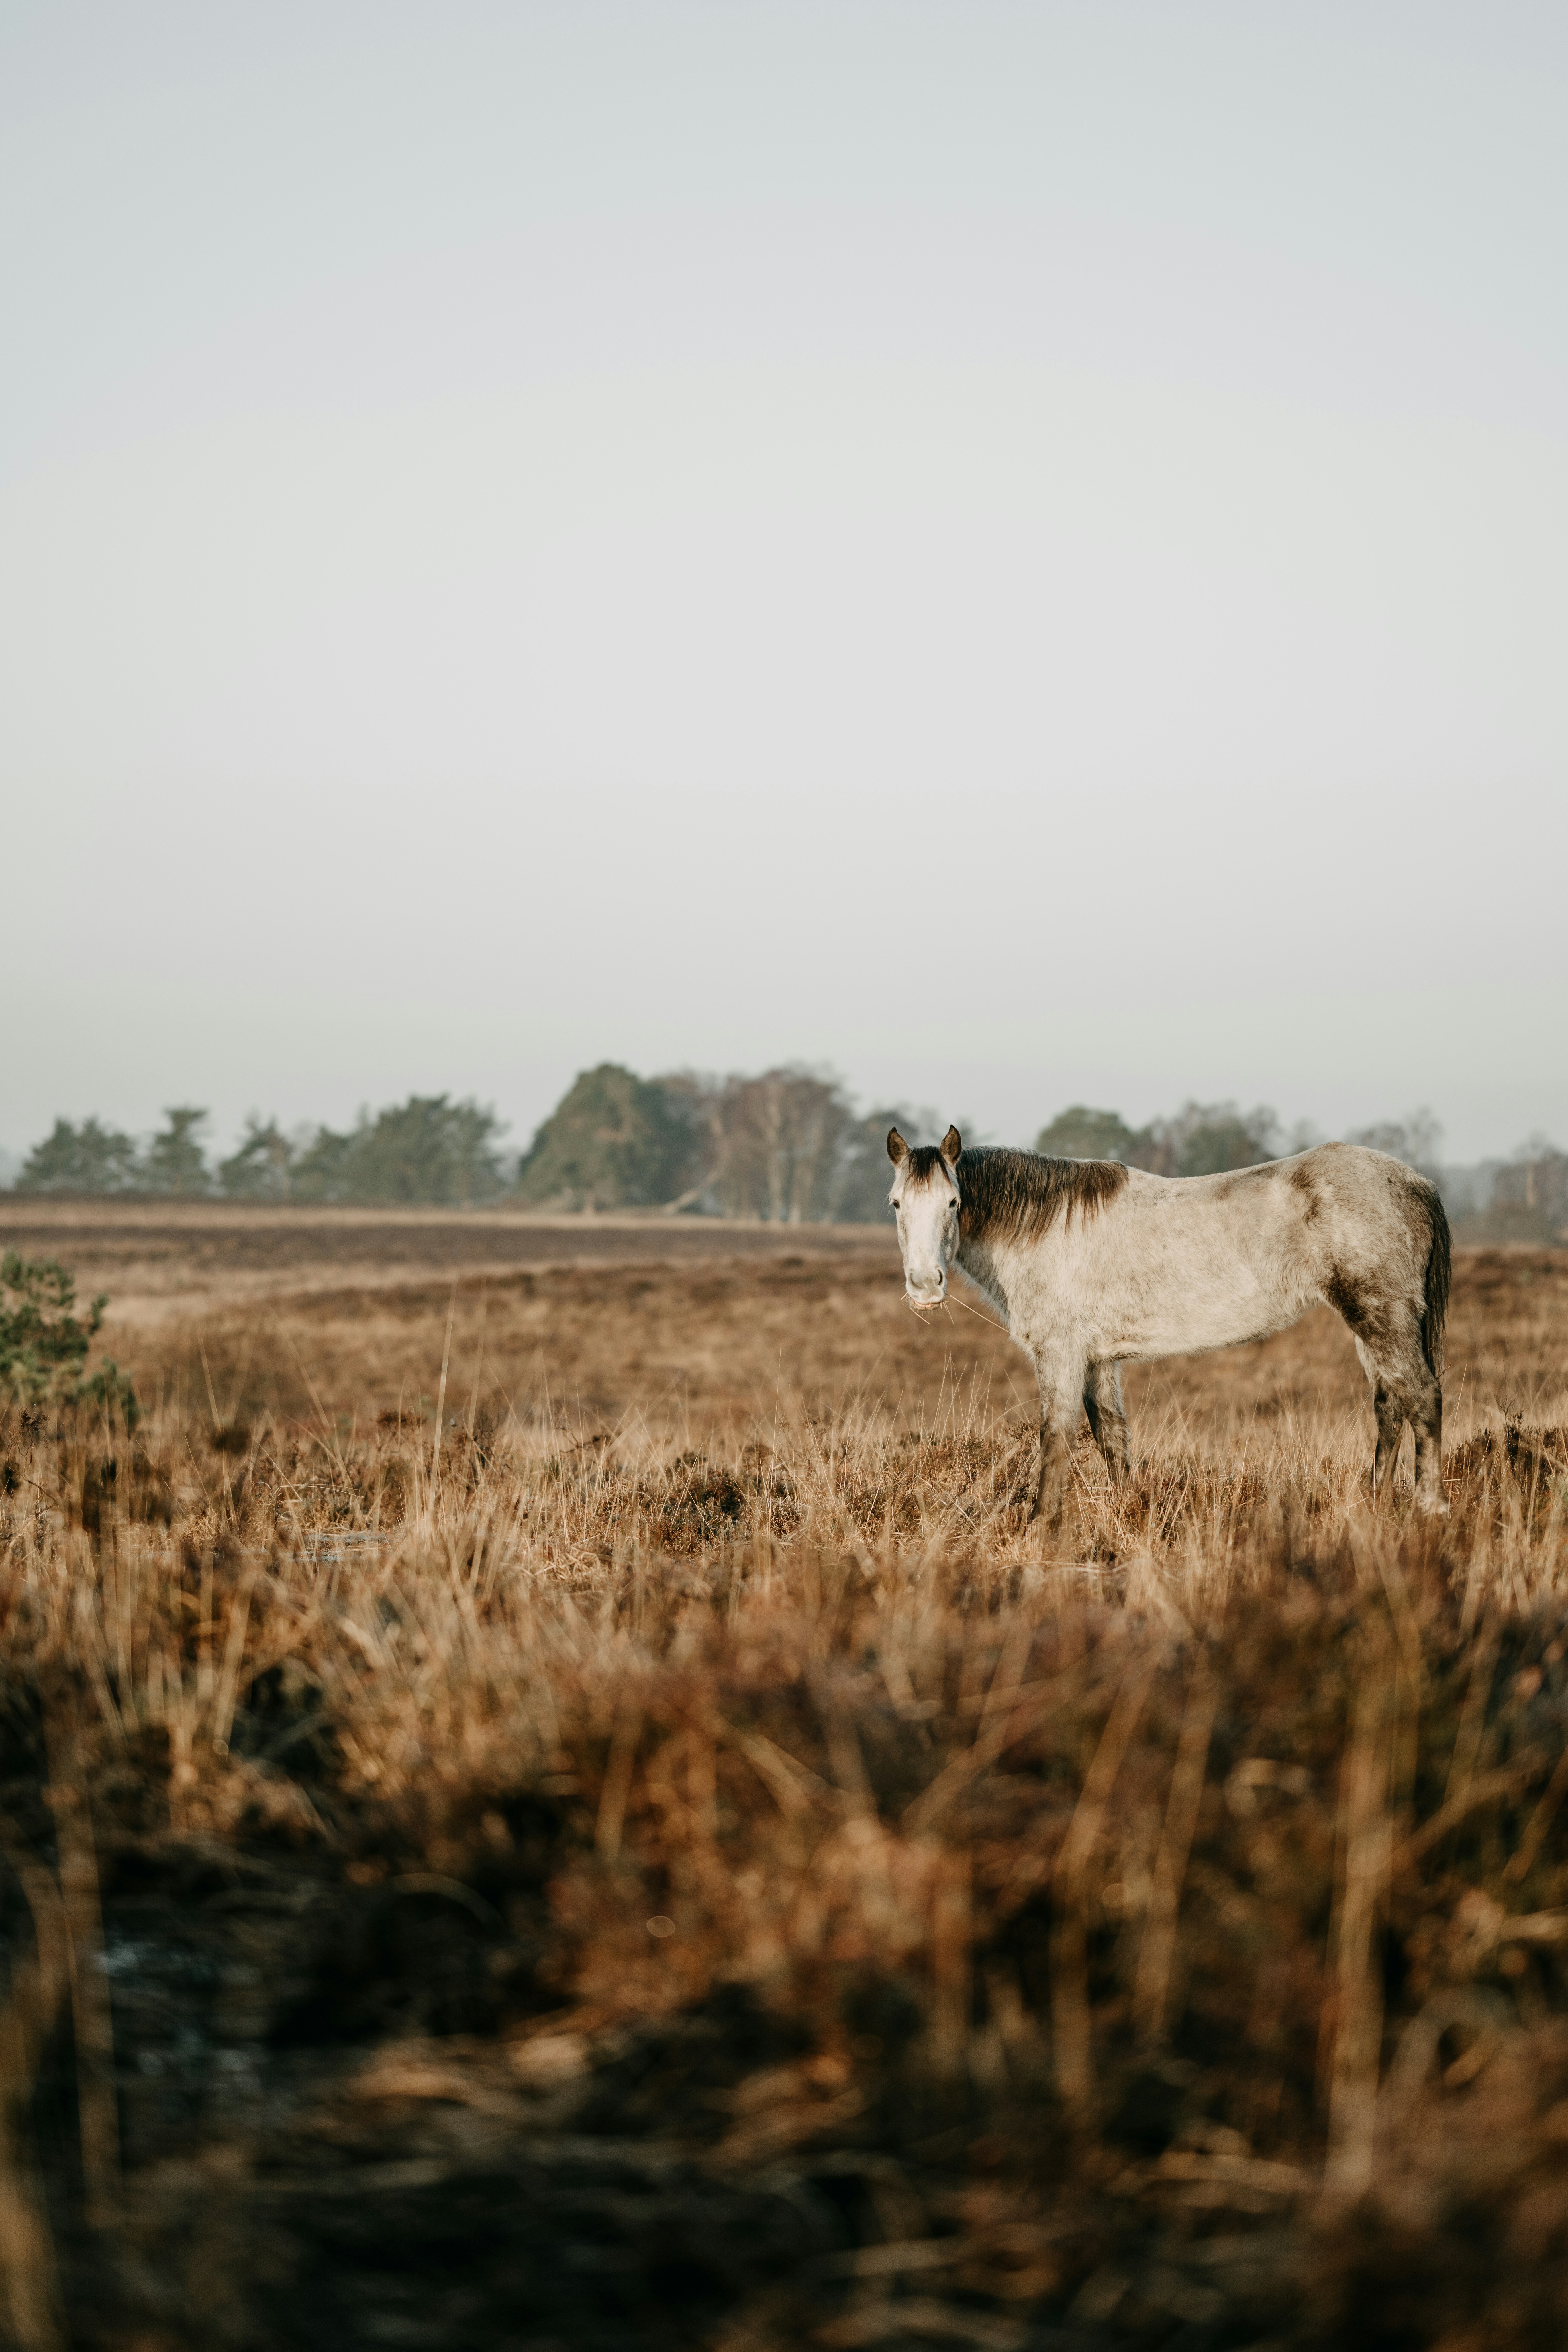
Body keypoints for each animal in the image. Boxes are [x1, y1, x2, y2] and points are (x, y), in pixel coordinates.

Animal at [886, 1124, 1451, 1524]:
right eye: (895, 1204)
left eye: (953, 1202)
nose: (925, 1286)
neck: (1045, 1229)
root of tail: (1417, 1183)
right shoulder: (1098, 1359)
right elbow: (1110, 1434)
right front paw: (1127, 1511)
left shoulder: (1061, 1354)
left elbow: (1055, 1434)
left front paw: (1041, 1523)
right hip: (1371, 1325)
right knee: (1389, 1404)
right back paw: (1374, 1500)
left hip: (1383, 1317)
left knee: (1421, 1396)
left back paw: (1430, 1506)